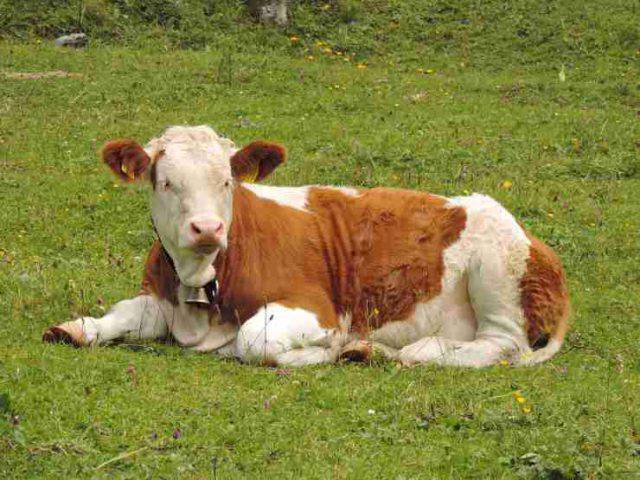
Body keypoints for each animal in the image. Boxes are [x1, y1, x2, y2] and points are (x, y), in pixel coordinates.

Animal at [43, 126, 569, 367]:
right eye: (166, 182)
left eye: (227, 180)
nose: (208, 227)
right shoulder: (161, 294)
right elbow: (124, 313)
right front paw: (75, 328)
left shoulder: (315, 307)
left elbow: (255, 342)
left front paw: (326, 351)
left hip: (496, 271)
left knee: (499, 343)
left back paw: (415, 349)